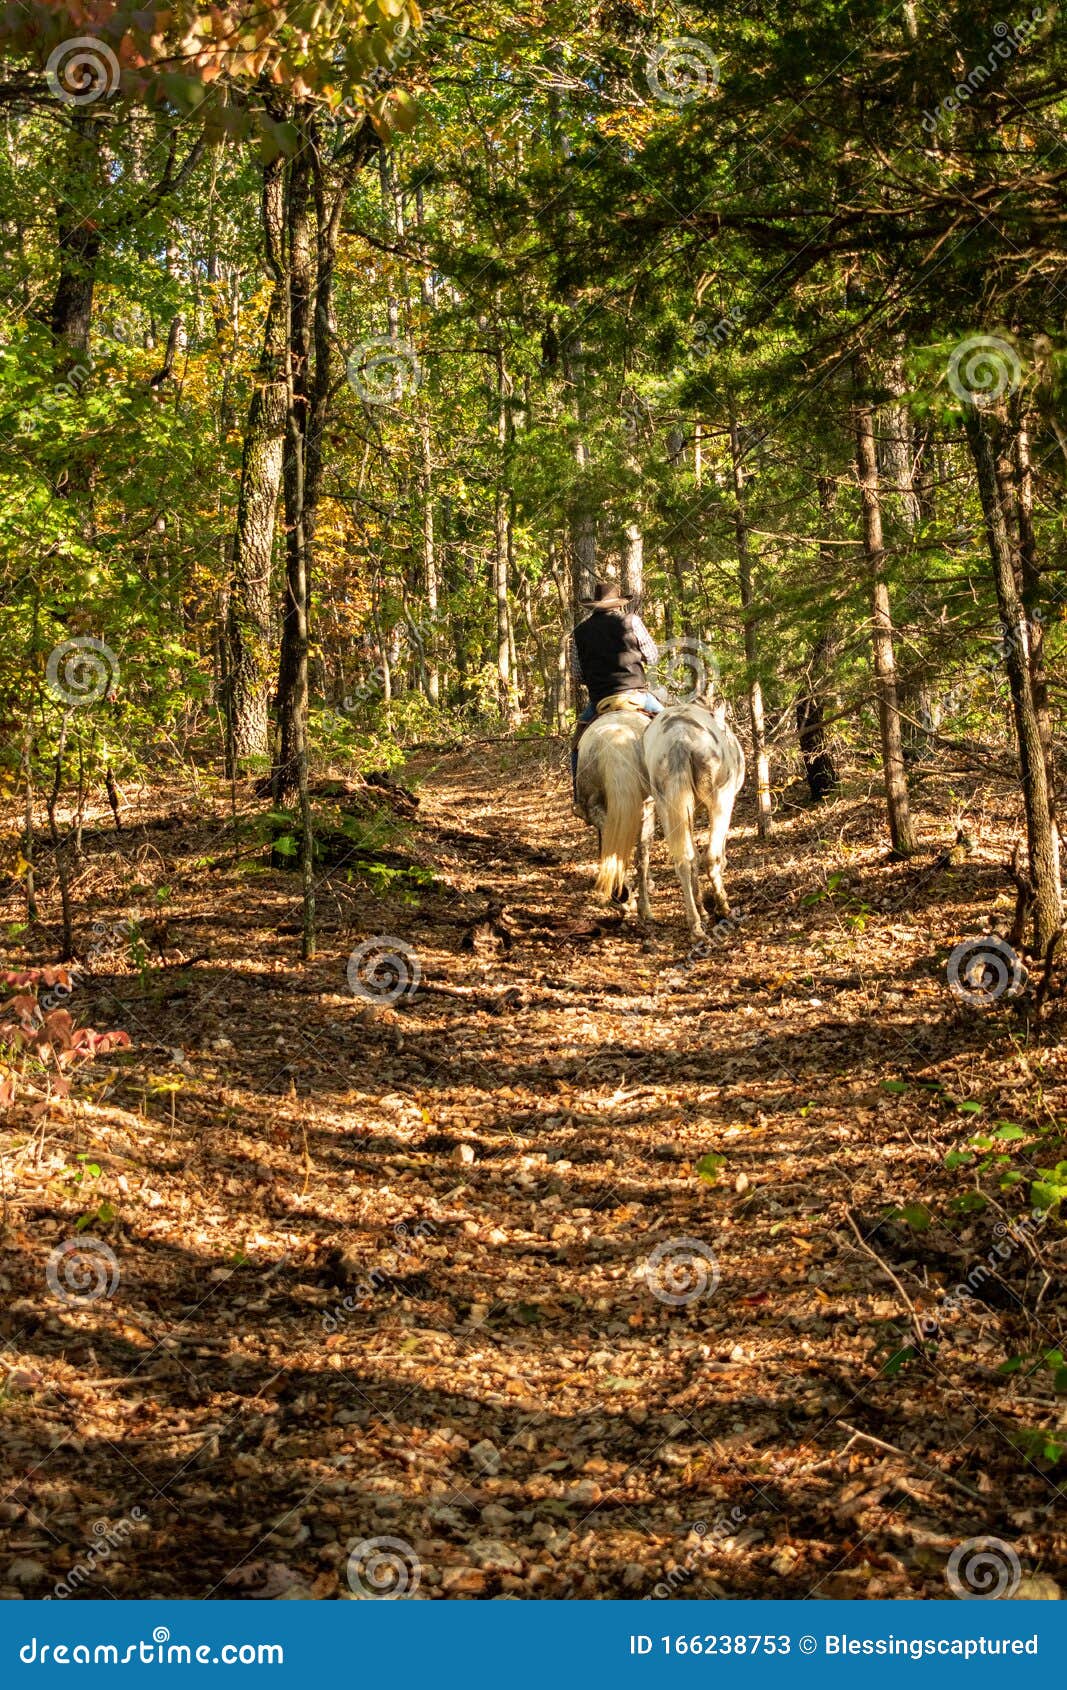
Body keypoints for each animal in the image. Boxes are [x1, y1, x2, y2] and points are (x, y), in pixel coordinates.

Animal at [642, 699, 746, 939]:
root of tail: (679, 740)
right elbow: (716, 855)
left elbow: (693, 858)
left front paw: (703, 910)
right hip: (720, 799)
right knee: (711, 856)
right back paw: (723, 908)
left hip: (666, 805)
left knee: (683, 860)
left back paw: (695, 923)